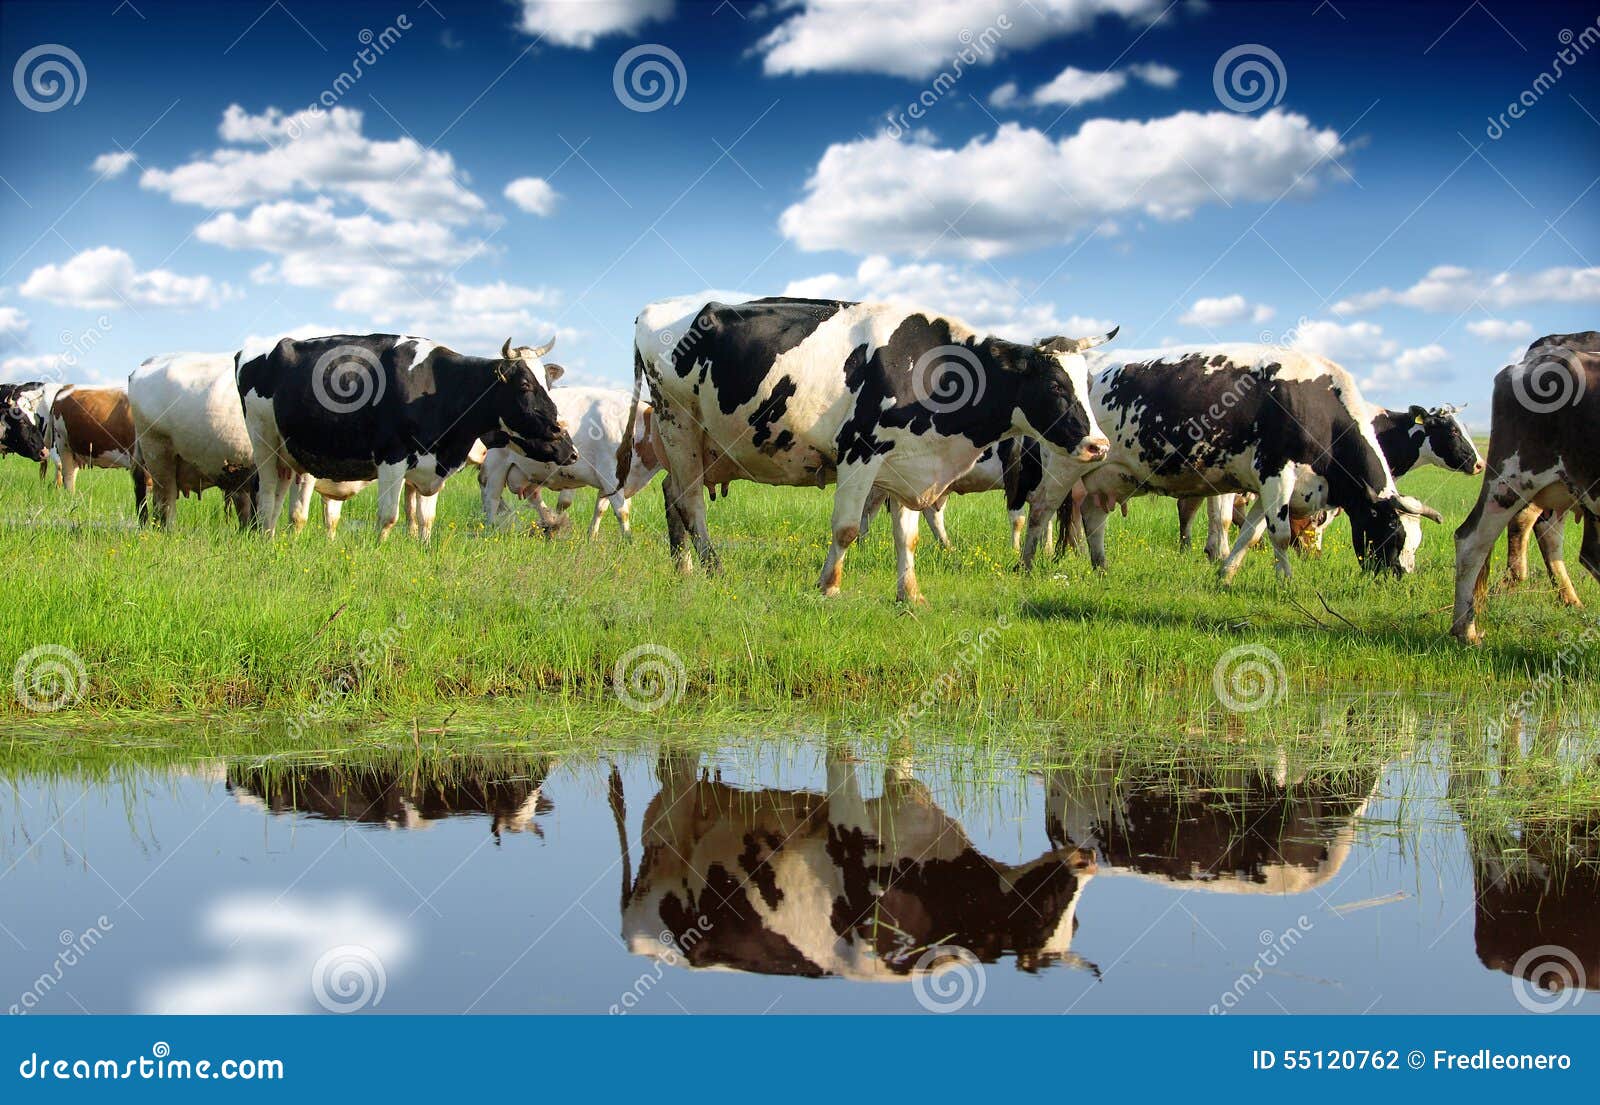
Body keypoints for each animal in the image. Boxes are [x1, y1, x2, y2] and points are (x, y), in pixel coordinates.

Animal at [237, 334, 576, 541]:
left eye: (548, 383)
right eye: (524, 385)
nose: (567, 442)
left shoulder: (432, 465)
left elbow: (427, 519)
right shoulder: (392, 458)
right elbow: (388, 516)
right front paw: (377, 551)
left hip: (291, 454)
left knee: (282, 501)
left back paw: (272, 537)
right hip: (263, 441)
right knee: (267, 496)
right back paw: (266, 539)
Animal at [479, 381, 665, 538]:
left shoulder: (612, 482)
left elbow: (600, 509)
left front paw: (592, 537)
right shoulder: (610, 475)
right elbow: (622, 511)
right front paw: (628, 540)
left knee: (533, 496)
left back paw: (551, 522)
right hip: (497, 465)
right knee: (491, 498)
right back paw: (490, 530)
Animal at [613, 752, 1098, 982]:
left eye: (1075, 924)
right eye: (1046, 912)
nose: (1088, 858)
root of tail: (634, 938)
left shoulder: (909, 801)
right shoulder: (850, 820)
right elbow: (841, 759)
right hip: (667, 823)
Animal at [632, 295, 1108, 602]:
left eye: (1087, 383)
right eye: (1055, 385)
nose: (1099, 446)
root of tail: (654, 309)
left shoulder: (906, 462)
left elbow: (907, 537)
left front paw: (910, 596)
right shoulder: (860, 452)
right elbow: (845, 528)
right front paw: (828, 586)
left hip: (693, 442)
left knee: (672, 497)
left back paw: (683, 569)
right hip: (679, 426)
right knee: (690, 502)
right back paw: (712, 567)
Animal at [1010, 345, 1441, 580]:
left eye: (1415, 542)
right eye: (1394, 534)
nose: (1400, 576)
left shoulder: (1264, 485)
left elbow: (1250, 533)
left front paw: (1226, 574)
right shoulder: (1276, 471)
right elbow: (1278, 535)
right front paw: (1286, 579)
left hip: (1110, 474)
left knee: (1093, 516)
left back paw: (1101, 567)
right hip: (1063, 466)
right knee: (1042, 509)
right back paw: (1027, 565)